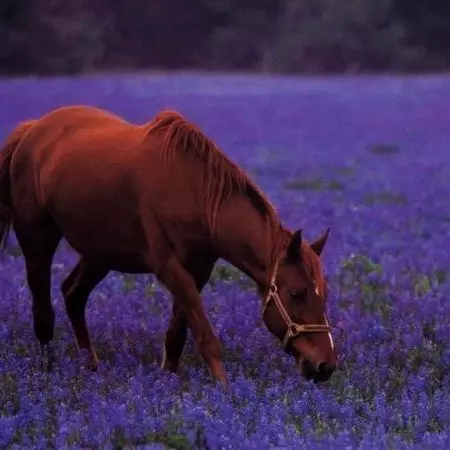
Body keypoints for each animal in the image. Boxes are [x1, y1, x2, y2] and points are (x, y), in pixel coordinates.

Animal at [0, 103, 338, 384]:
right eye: (297, 293)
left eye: (325, 293)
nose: (326, 366)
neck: (194, 192)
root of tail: (32, 129)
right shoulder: (169, 266)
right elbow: (204, 334)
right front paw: (224, 391)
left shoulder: (198, 269)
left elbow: (177, 333)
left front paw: (169, 381)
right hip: (37, 239)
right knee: (43, 311)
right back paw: (47, 375)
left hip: (100, 253)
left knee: (73, 295)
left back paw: (91, 367)